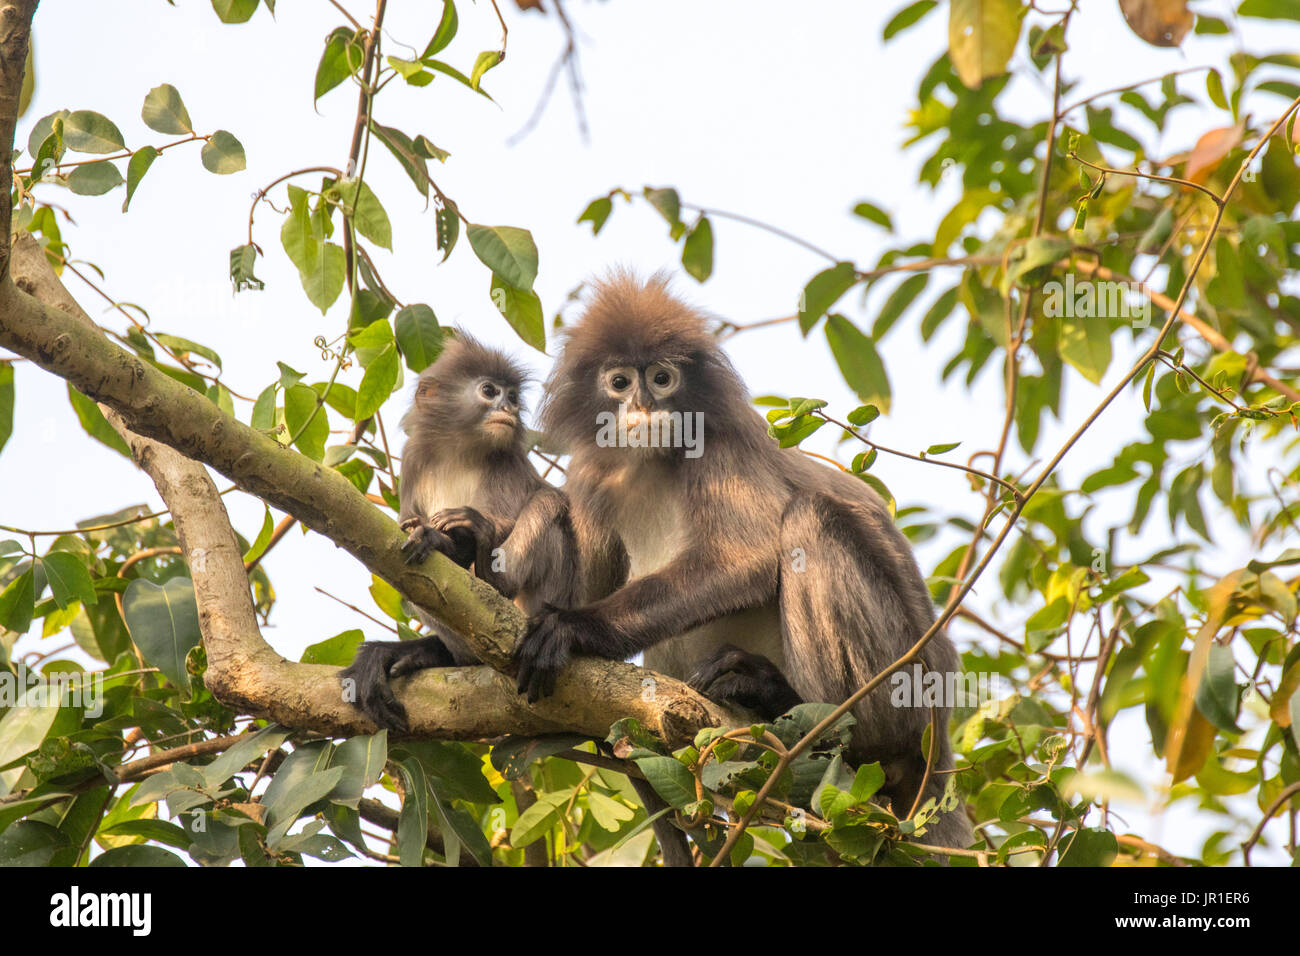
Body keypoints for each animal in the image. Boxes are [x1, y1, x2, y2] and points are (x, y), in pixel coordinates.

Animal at [339, 332, 578, 734]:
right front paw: (440, 540)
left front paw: (461, 533)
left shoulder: (508, 462)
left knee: (548, 502)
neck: (460, 450)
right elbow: (402, 531)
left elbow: (519, 512)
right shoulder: (415, 457)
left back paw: (494, 578)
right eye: (489, 391)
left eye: (513, 397)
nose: (509, 408)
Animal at [513, 273, 974, 852]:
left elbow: (748, 560)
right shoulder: (593, 471)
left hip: (907, 685)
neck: (651, 462)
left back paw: (789, 705)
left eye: (661, 378)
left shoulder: (720, 444)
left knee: (811, 517)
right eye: (619, 382)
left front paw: (574, 627)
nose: (643, 406)